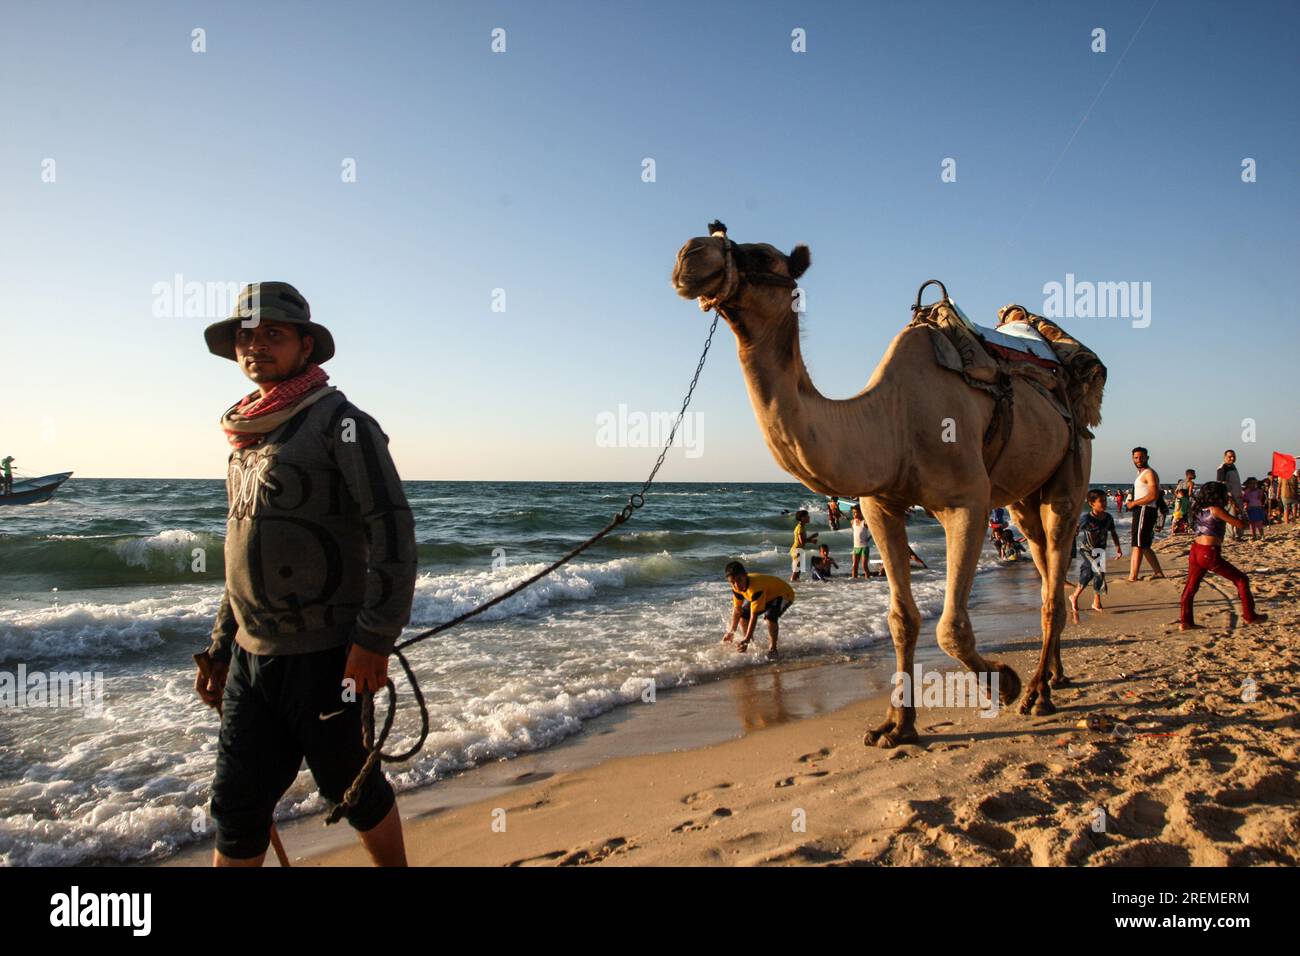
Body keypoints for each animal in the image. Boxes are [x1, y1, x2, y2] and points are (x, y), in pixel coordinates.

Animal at [672, 223, 1104, 746]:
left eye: (762, 255)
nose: (689, 255)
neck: (894, 420)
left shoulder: (968, 502)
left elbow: (950, 628)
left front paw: (1005, 681)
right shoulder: (880, 505)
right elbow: (902, 620)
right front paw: (896, 727)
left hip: (1072, 467)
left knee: (1053, 568)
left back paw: (1037, 692)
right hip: (1023, 496)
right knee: (1045, 571)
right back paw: (1055, 675)